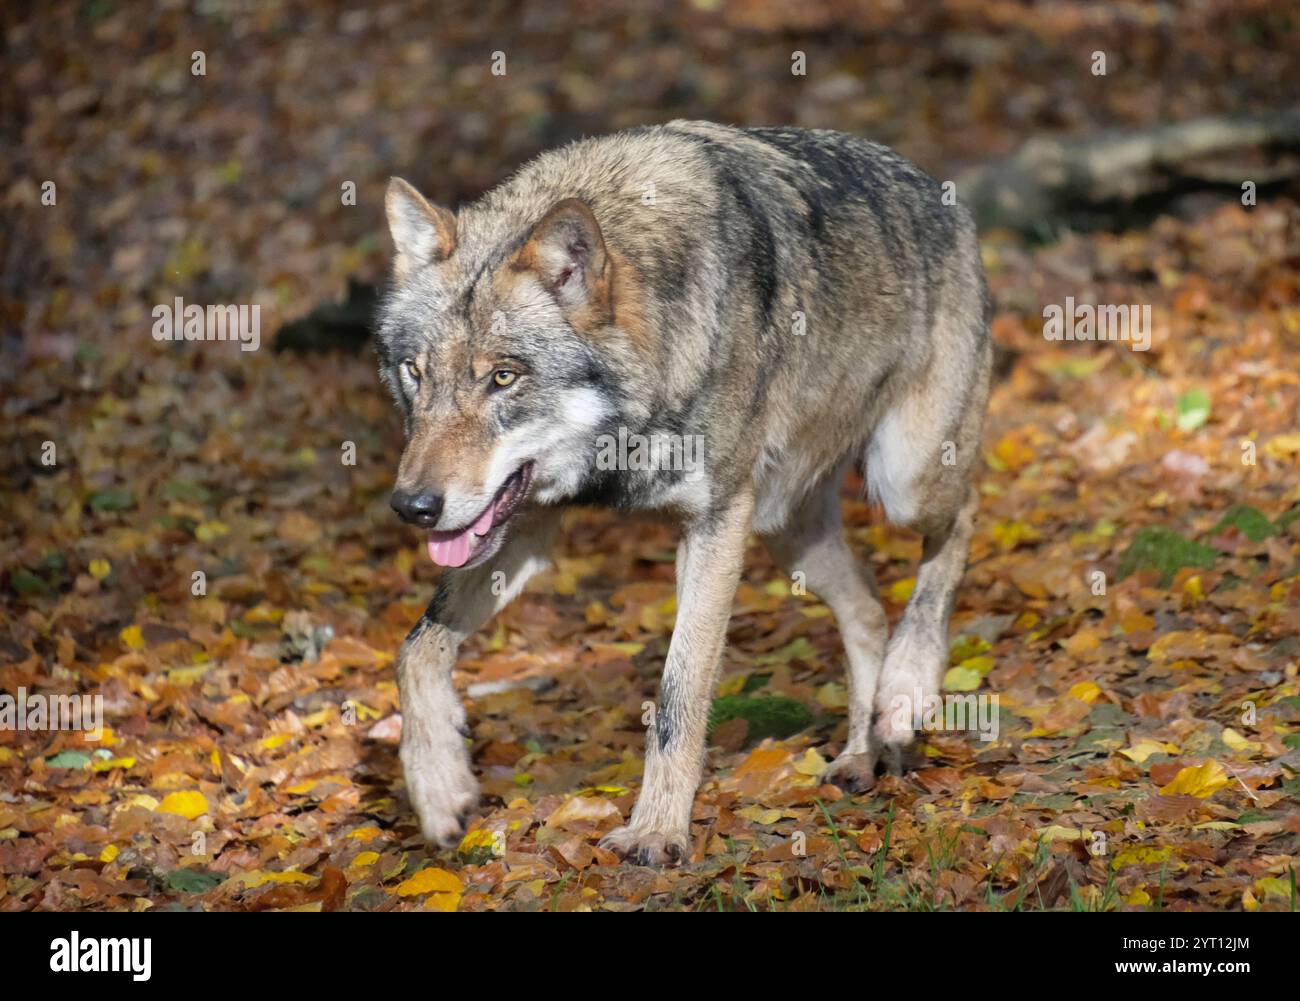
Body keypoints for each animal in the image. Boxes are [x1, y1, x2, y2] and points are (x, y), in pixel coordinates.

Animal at [377, 121, 991, 865]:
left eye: (502, 376)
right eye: (414, 372)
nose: (413, 507)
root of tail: (935, 186)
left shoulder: (714, 525)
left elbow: (679, 692)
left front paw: (657, 830)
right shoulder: (528, 524)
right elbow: (415, 649)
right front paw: (438, 788)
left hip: (904, 480)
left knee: (963, 518)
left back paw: (906, 690)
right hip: (789, 532)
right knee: (870, 608)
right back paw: (862, 753)